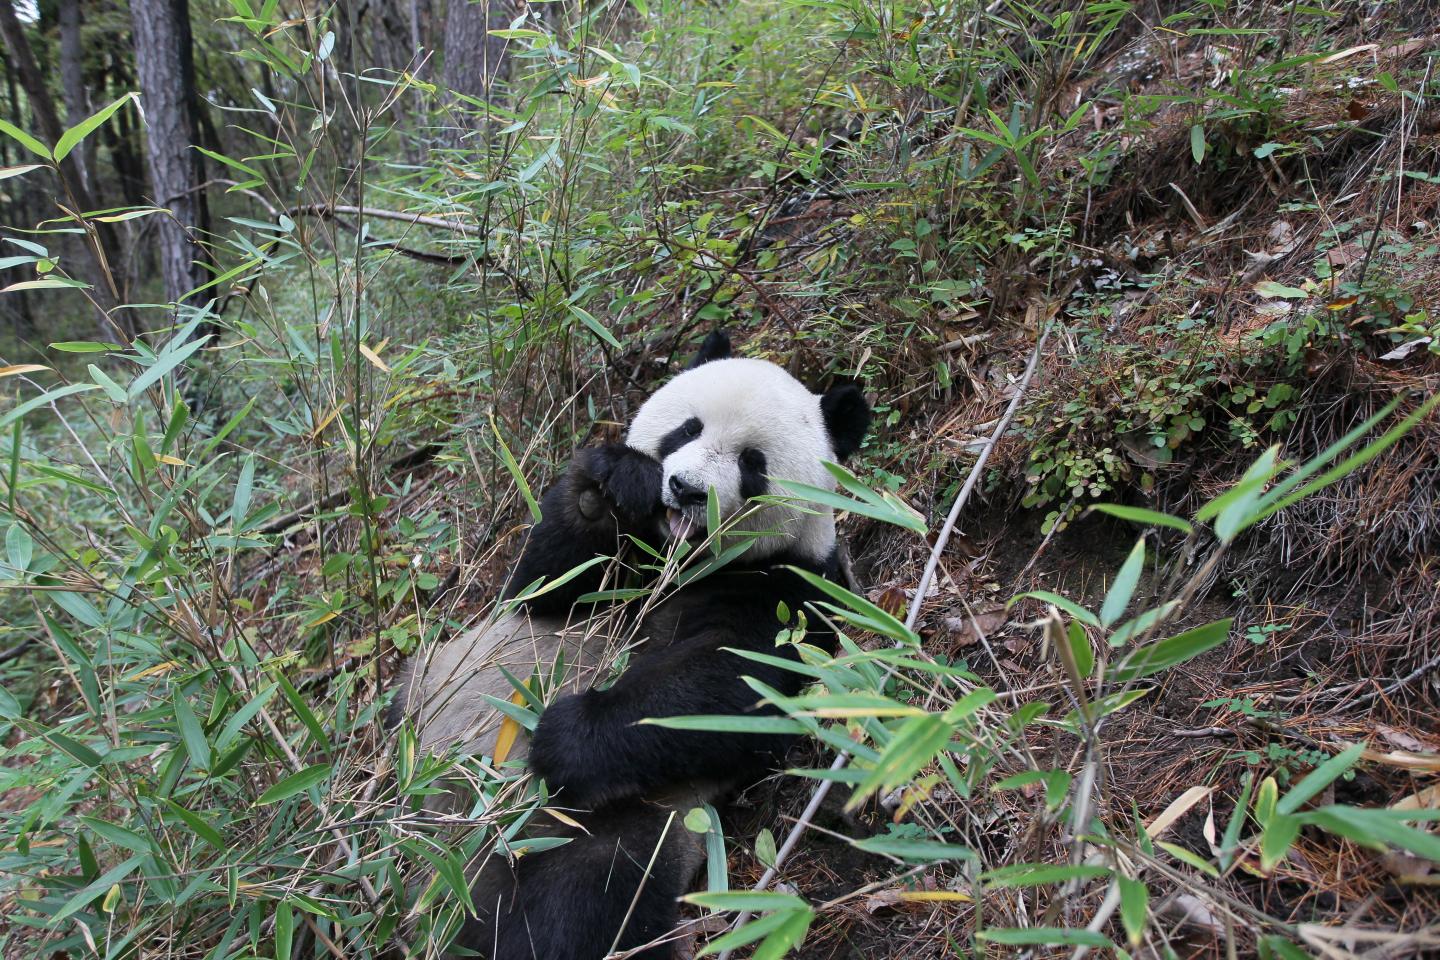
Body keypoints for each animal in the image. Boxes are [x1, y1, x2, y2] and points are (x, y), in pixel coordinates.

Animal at [392, 331, 870, 959]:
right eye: (686, 429)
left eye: (752, 463)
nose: (684, 490)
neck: (682, 559)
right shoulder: (623, 567)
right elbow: (542, 589)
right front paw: (610, 486)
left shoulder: (791, 587)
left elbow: (731, 681)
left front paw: (566, 735)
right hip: (425, 688)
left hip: (599, 827)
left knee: (573, 907)